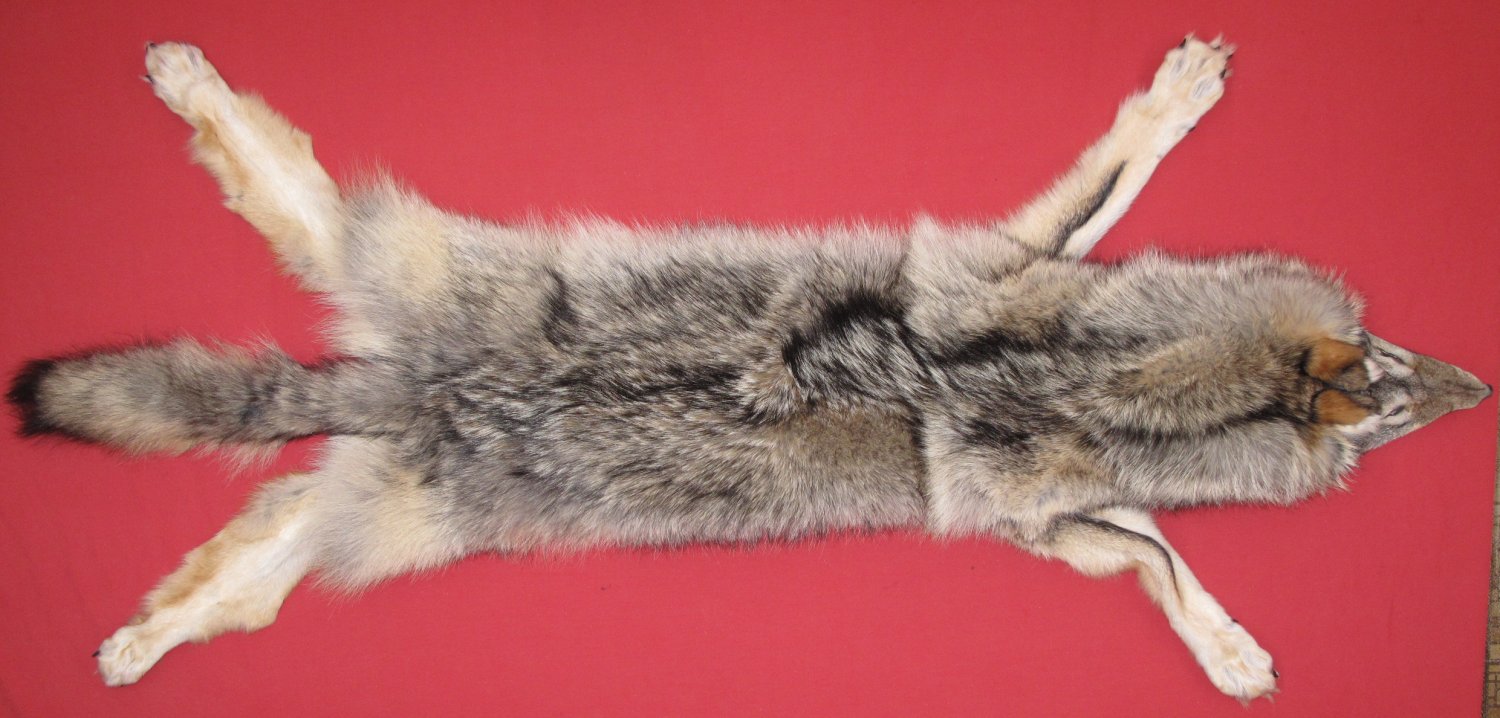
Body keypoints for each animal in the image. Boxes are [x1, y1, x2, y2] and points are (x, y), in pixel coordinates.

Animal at [5, 36, 1490, 700]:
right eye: (1387, 393)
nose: (1478, 389)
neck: (1093, 380)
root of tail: (391, 387)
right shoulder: (1031, 308)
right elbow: (1168, 566)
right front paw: (1230, 646)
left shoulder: (1050, 467)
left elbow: (1162, 555)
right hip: (387, 330)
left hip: (357, 476)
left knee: (237, 562)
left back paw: (137, 633)